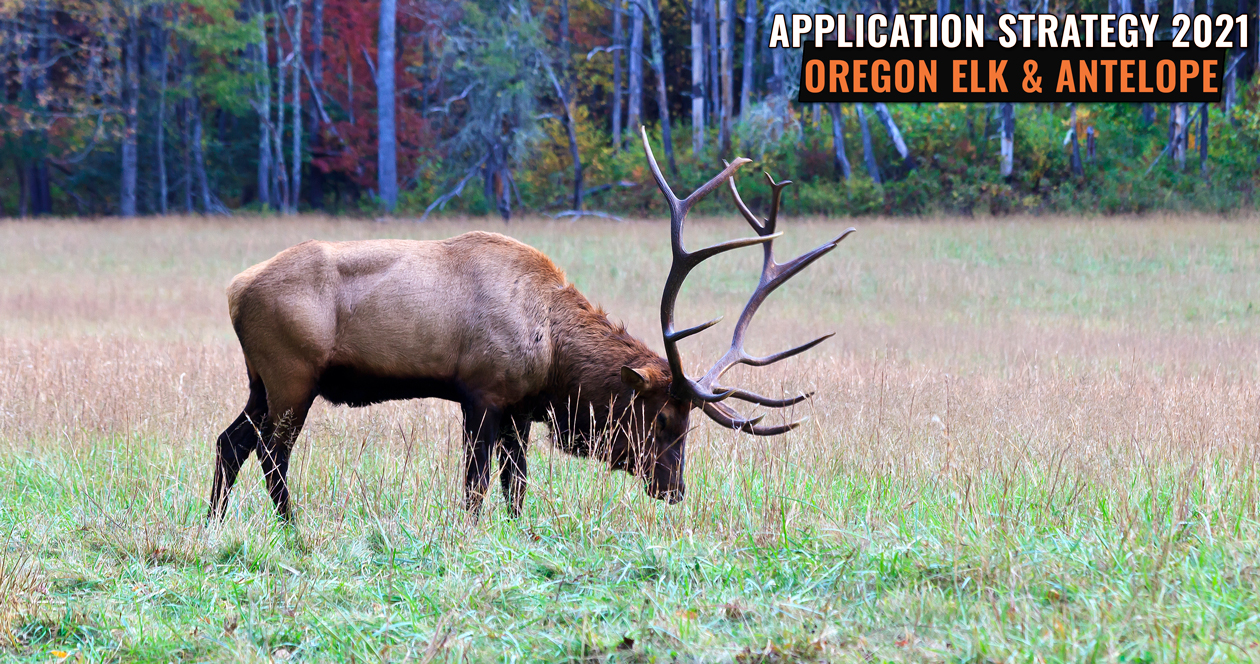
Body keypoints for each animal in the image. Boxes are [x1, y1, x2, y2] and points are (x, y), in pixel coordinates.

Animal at [207, 128, 854, 522]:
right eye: (664, 417)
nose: (674, 490)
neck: (553, 356)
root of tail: (235, 290)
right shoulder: (481, 393)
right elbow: (476, 488)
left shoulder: (520, 408)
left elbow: (517, 489)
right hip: (294, 375)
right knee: (271, 454)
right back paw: (291, 527)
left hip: (262, 380)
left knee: (230, 441)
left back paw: (213, 523)